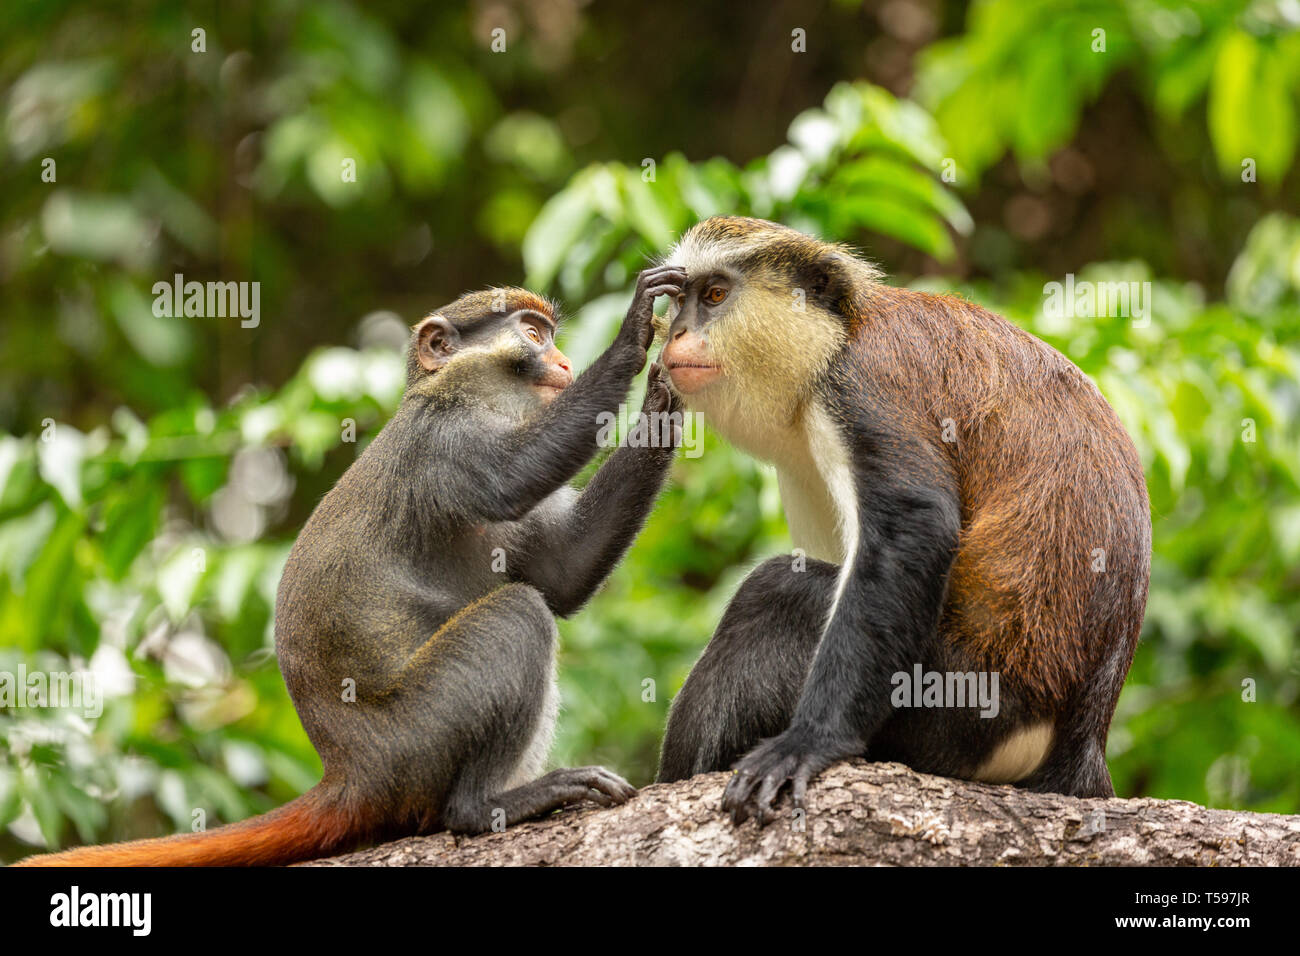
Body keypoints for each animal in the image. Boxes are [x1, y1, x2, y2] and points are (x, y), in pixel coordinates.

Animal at [16, 264, 688, 866]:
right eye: (531, 334)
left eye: (548, 333)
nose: (567, 363)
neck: (465, 394)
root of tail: (351, 774)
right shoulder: (440, 440)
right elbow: (513, 485)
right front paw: (633, 335)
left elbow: (563, 573)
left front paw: (666, 397)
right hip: (420, 731)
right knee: (519, 616)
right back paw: (485, 807)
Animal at [654, 217, 1150, 824]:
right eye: (679, 301)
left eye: (715, 295)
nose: (675, 334)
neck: (838, 336)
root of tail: (1083, 743)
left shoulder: (859, 386)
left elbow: (914, 527)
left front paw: (810, 742)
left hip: (962, 708)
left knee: (776, 594)